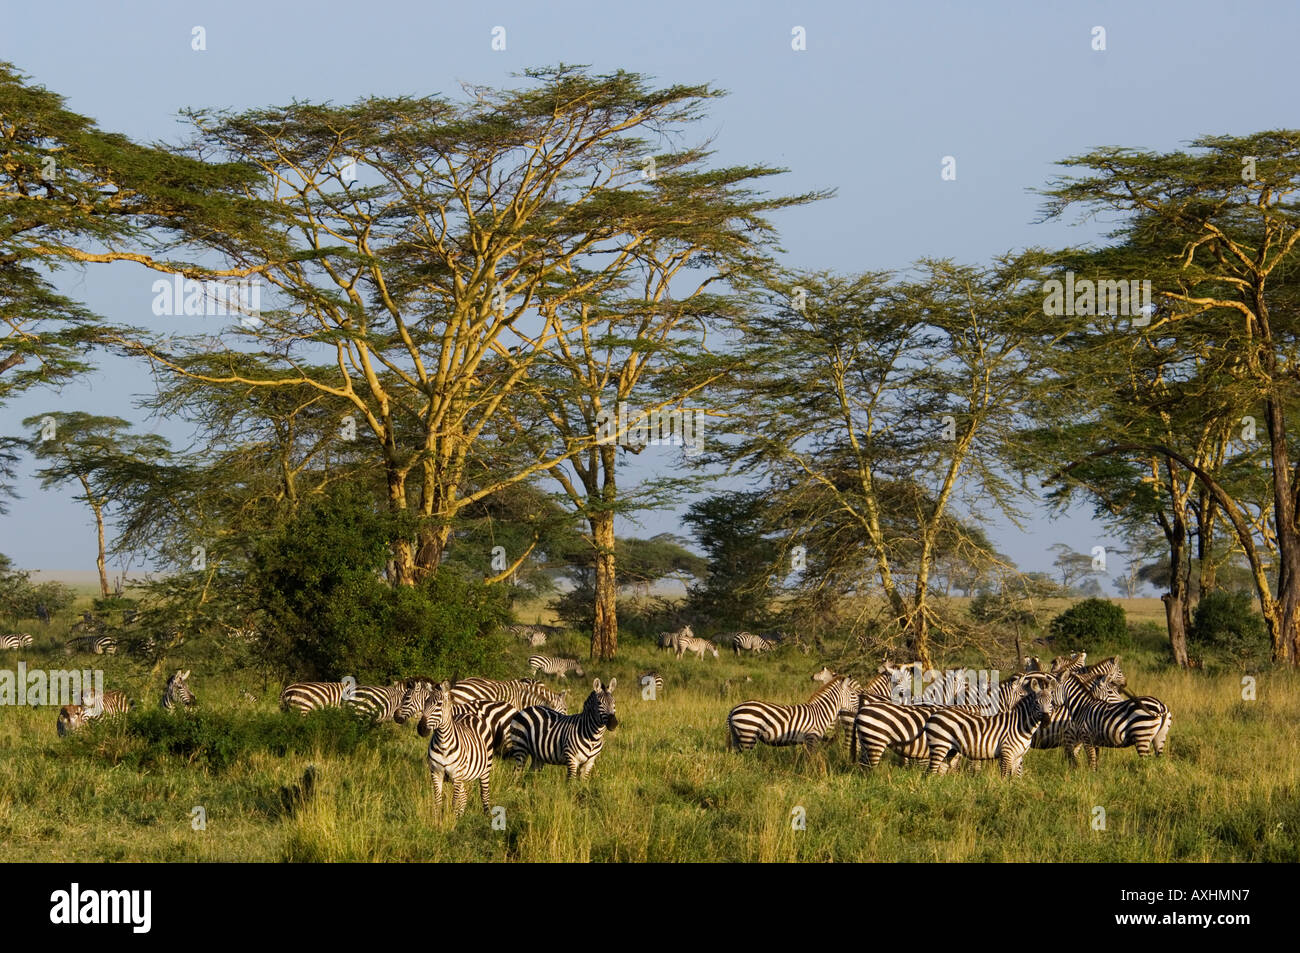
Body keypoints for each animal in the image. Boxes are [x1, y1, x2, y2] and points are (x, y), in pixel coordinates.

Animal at [424, 681, 493, 819]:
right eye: (425, 703)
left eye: (439, 705)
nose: (421, 727)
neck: (443, 743)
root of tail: (470, 714)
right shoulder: (436, 773)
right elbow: (438, 799)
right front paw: (438, 819)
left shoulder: (456, 775)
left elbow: (454, 801)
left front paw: (449, 819)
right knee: (464, 795)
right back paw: (460, 816)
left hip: (485, 770)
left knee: (484, 794)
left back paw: (487, 815)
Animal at [727, 675, 860, 752]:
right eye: (854, 695)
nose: (861, 707)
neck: (821, 712)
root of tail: (733, 709)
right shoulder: (812, 738)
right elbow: (811, 761)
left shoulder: (807, 741)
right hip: (748, 734)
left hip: (737, 736)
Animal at [922, 675, 1059, 778]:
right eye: (1036, 702)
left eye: (1051, 702)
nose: (1046, 721)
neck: (1021, 726)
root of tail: (934, 714)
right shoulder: (1006, 753)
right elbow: (1004, 777)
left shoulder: (1017, 756)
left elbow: (1014, 778)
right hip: (939, 746)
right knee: (930, 773)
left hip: (950, 750)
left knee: (940, 771)